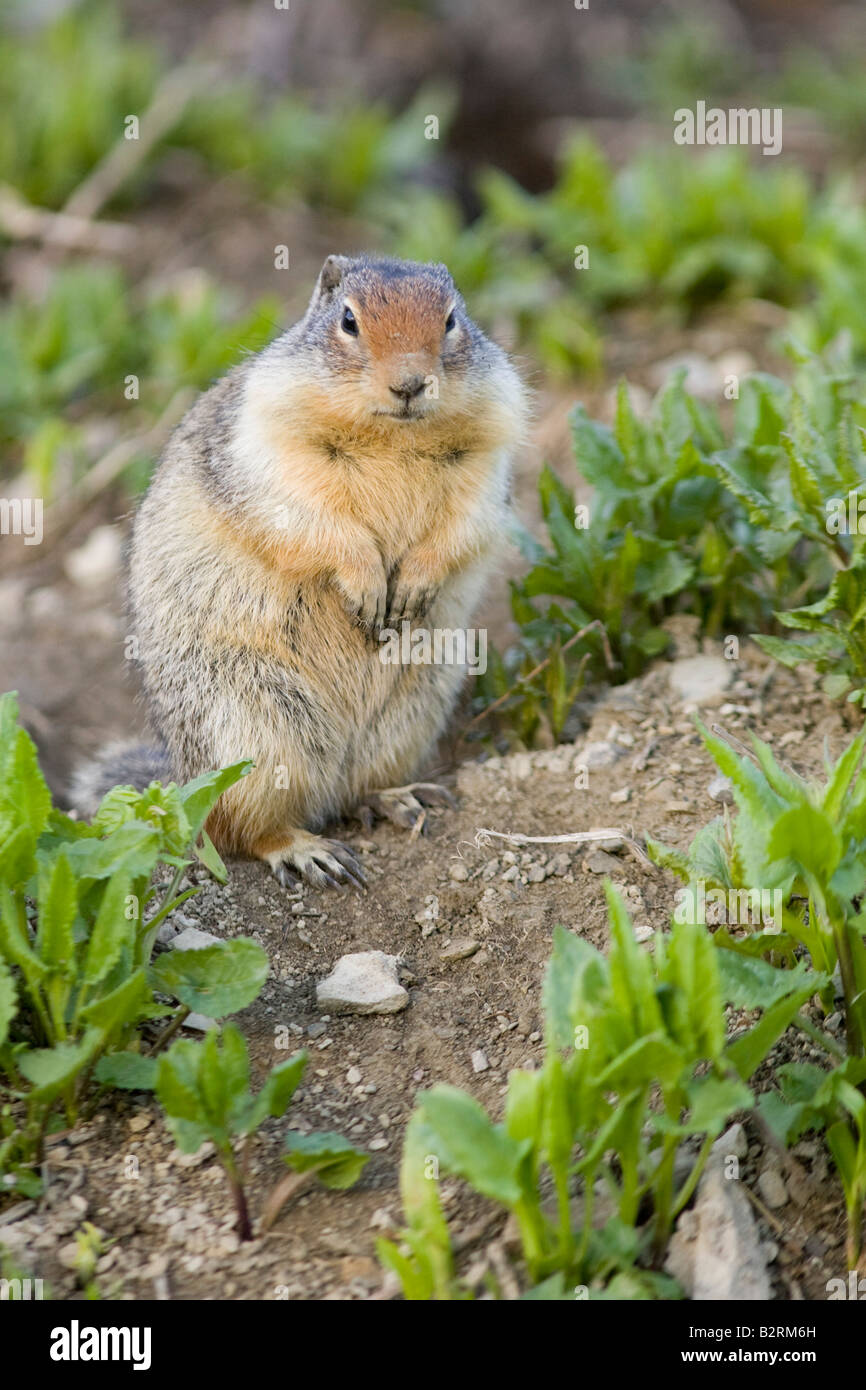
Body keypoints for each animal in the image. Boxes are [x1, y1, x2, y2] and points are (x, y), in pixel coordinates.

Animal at [71, 255, 528, 890]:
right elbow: (314, 516)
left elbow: (466, 520)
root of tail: (183, 780)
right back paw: (307, 850)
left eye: (452, 320)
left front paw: (413, 584)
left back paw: (399, 797)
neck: (394, 433)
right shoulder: (272, 443)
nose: (410, 384)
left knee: (350, 789)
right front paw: (367, 584)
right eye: (348, 320)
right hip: (251, 724)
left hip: (414, 704)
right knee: (240, 827)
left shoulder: (488, 449)